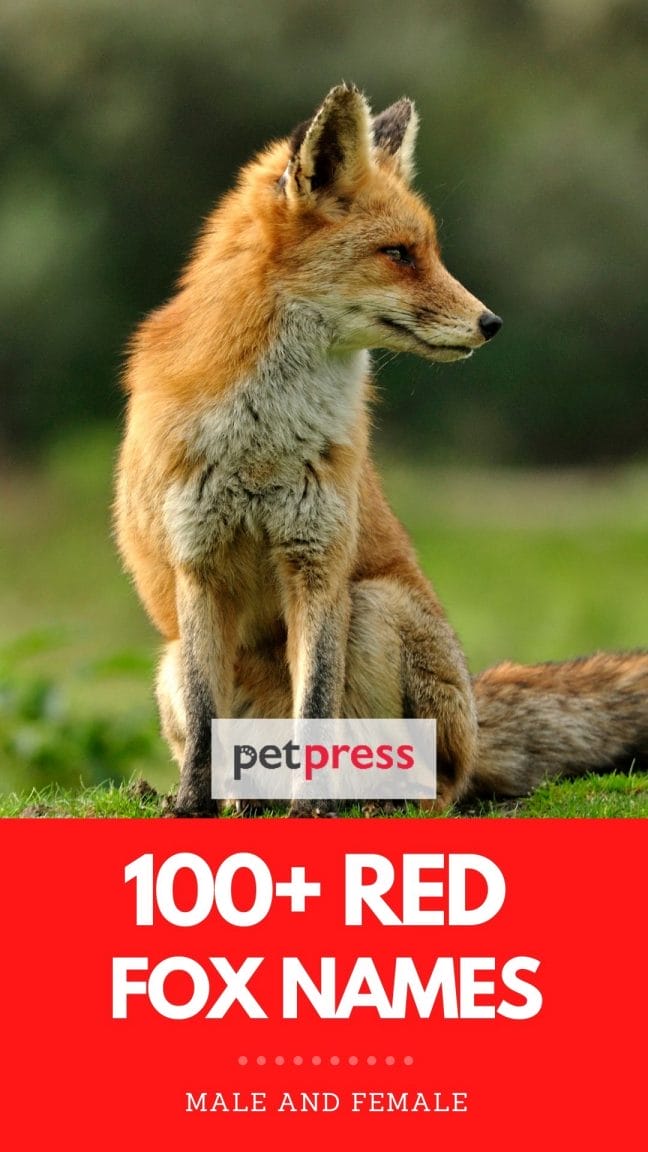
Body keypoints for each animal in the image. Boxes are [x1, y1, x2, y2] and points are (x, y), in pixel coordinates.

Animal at [115, 83, 647, 816]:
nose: (491, 323)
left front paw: (307, 812)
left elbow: (316, 706)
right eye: (399, 253)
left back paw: (367, 803)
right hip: (168, 662)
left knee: (439, 785)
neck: (261, 445)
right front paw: (190, 808)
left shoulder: (319, 564)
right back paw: (239, 801)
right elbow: (202, 718)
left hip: (376, 611)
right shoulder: (198, 566)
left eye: (431, 251)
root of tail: (474, 712)